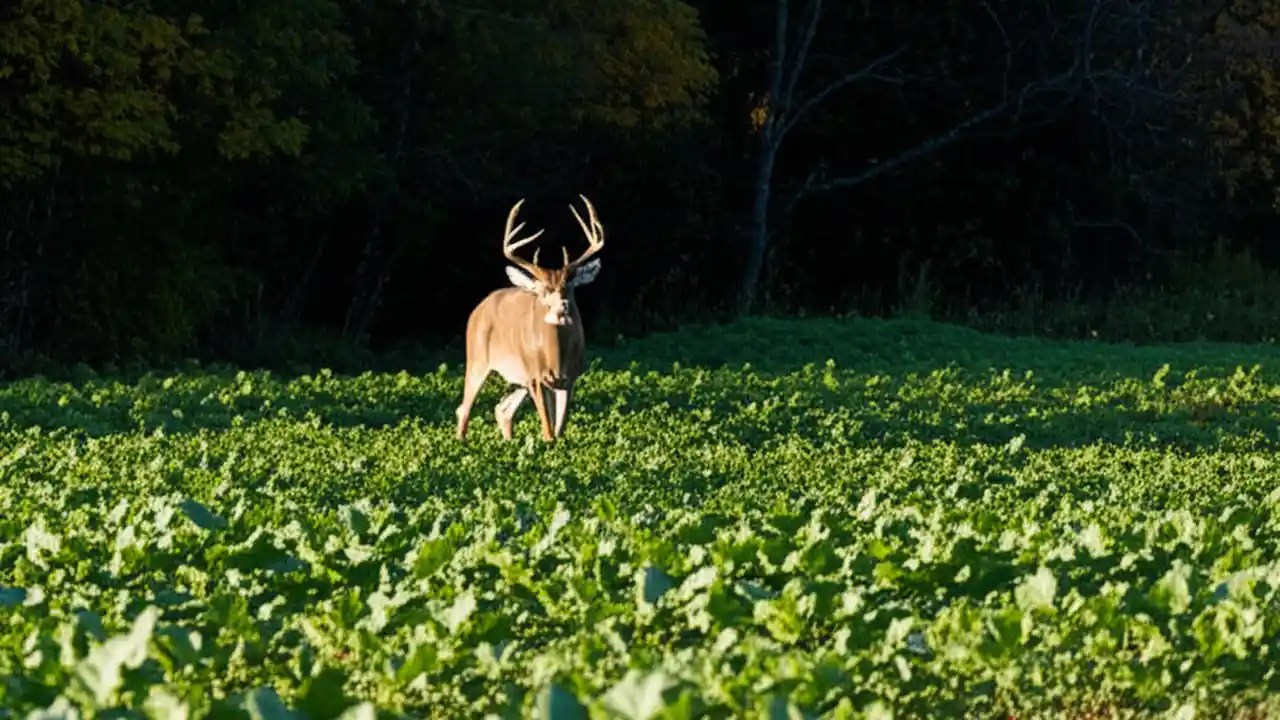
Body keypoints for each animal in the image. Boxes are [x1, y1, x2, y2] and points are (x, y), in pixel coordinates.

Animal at [455, 195, 605, 442]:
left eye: (569, 287)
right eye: (543, 290)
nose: (561, 307)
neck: (555, 356)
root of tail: (479, 307)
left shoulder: (569, 378)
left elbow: (558, 430)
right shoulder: (536, 376)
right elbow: (548, 431)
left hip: (519, 379)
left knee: (502, 409)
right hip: (477, 358)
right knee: (464, 409)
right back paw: (461, 442)